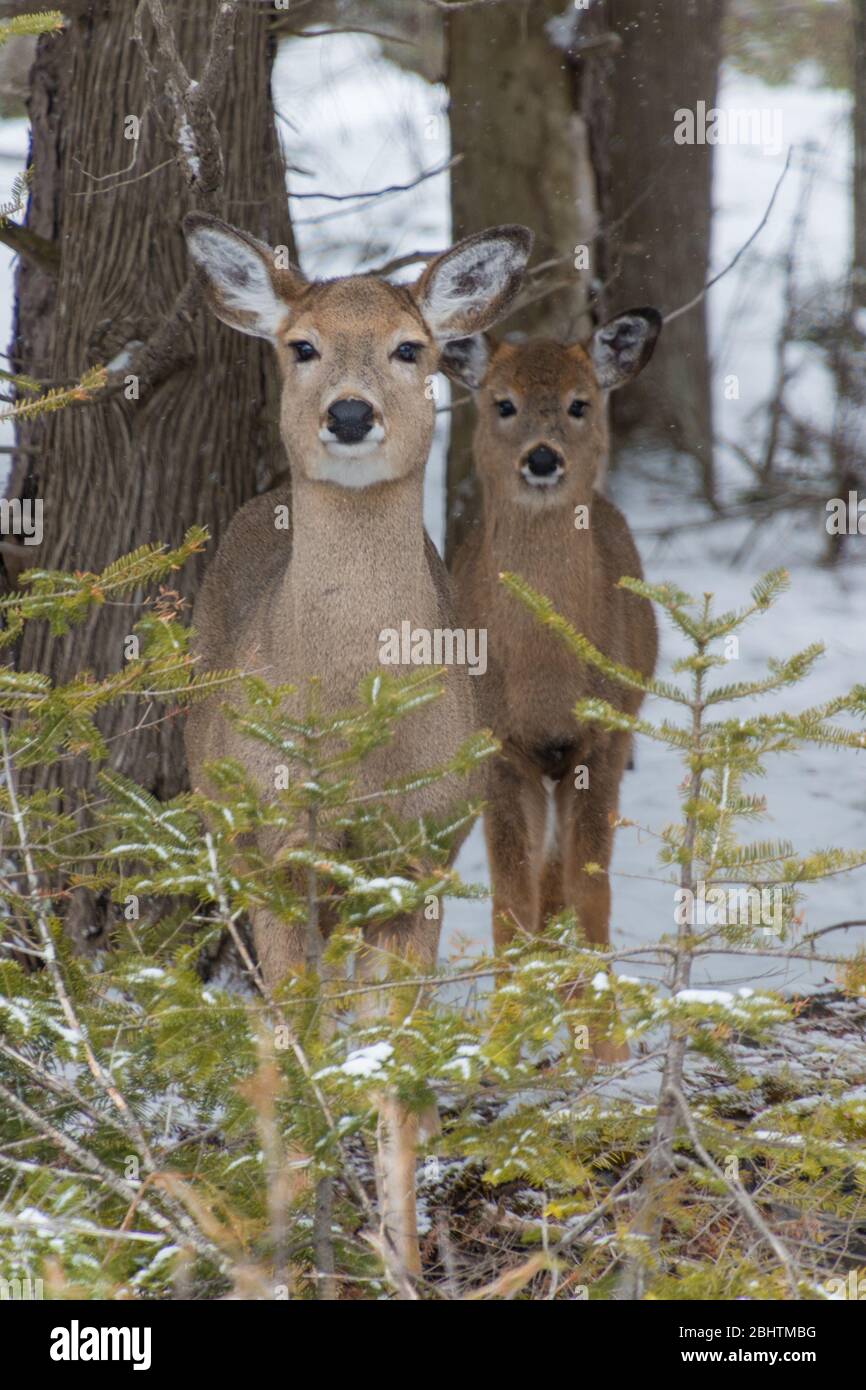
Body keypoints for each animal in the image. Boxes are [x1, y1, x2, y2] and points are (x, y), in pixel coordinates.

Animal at [181, 212, 532, 1279]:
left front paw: (401, 1257)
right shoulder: (279, 855)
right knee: (271, 1014)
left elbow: (396, 1072)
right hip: (227, 834)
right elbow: (296, 1040)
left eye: (409, 348)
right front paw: (298, 1236)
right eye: (301, 345)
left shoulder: (422, 856)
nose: (346, 413)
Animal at [448, 313, 661, 1060]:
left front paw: (608, 1044)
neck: (544, 686)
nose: (542, 460)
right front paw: (499, 1044)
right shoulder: (497, 749)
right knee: (540, 884)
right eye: (502, 403)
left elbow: (589, 891)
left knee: (562, 881)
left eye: (579, 402)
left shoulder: (600, 742)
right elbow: (511, 900)